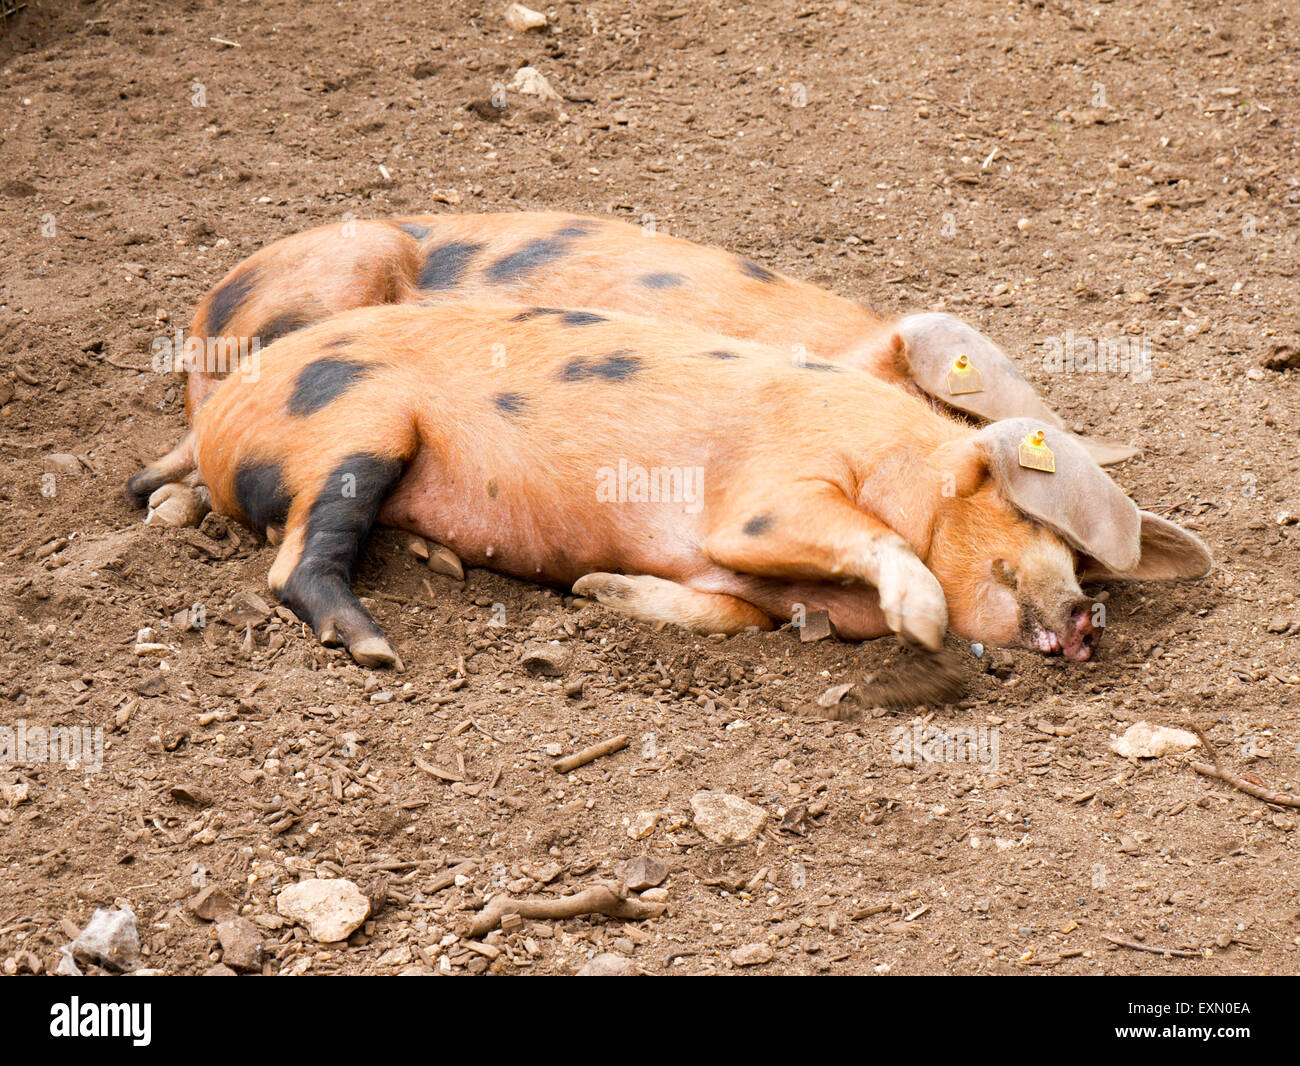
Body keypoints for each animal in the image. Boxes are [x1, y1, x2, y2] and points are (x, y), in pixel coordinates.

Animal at [184, 301, 1210, 669]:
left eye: (1088, 559)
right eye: (1041, 526)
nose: (1089, 616)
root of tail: (217, 417)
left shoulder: (729, 577)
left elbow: (728, 616)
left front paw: (595, 589)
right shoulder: (763, 500)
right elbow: (869, 534)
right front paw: (921, 628)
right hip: (358, 426)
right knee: (296, 561)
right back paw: (377, 649)